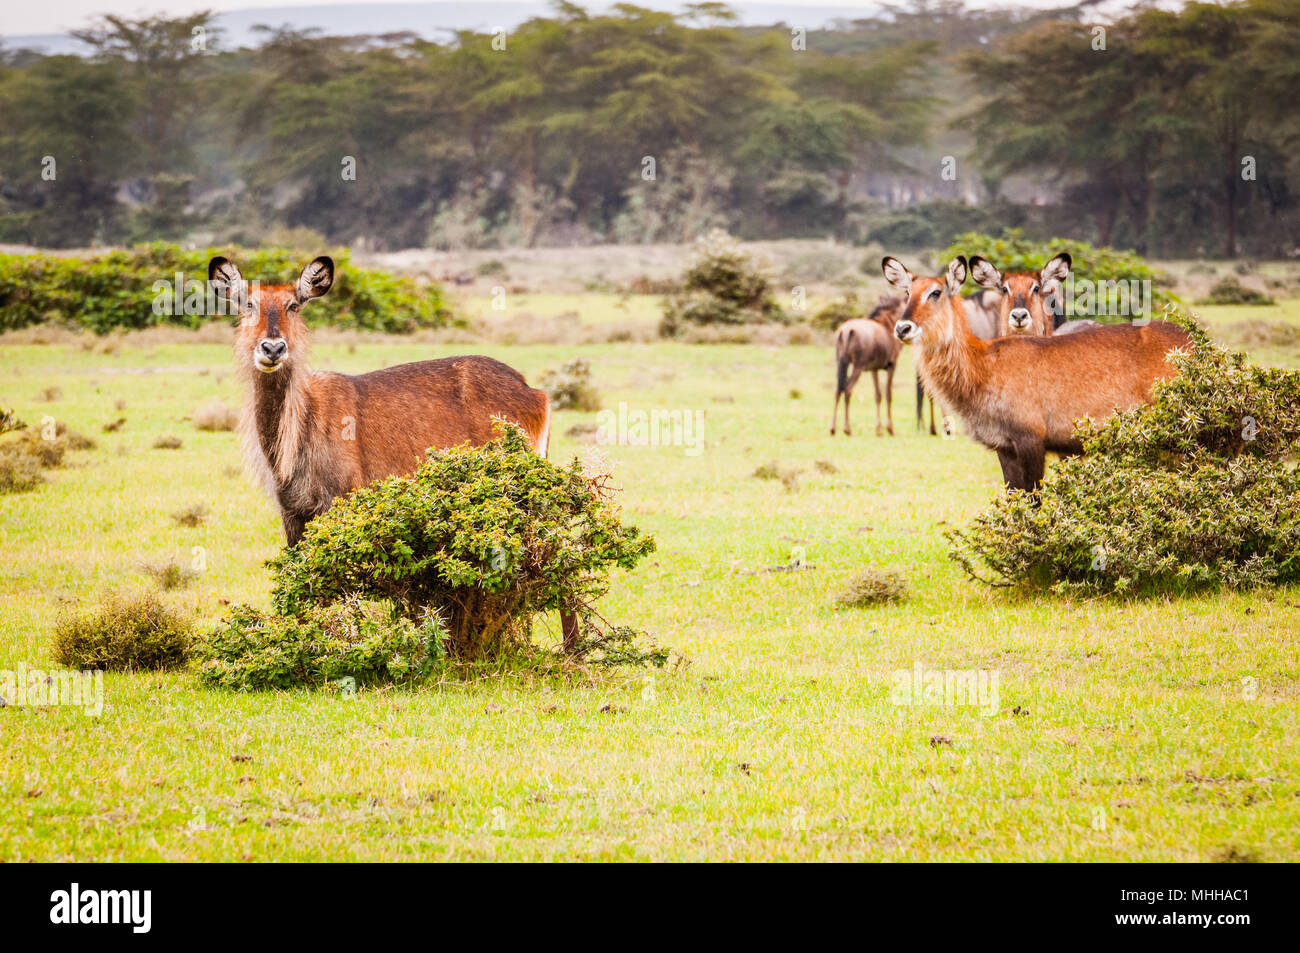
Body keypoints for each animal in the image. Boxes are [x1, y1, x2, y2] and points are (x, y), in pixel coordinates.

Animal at [211, 255, 580, 650]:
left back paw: (574, 650)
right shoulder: (293, 515)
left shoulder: (342, 507)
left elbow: (343, 592)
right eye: (248, 303)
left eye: (294, 304)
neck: (298, 431)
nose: (273, 348)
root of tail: (533, 390)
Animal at [830, 297, 903, 436]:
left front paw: (878, 429)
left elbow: (878, 395)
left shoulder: (874, 369)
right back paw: (847, 429)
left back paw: (833, 428)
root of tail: (846, 330)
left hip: (841, 362)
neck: (886, 325)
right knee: (848, 389)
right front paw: (889, 429)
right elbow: (888, 395)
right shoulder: (892, 365)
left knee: (838, 389)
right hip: (857, 367)